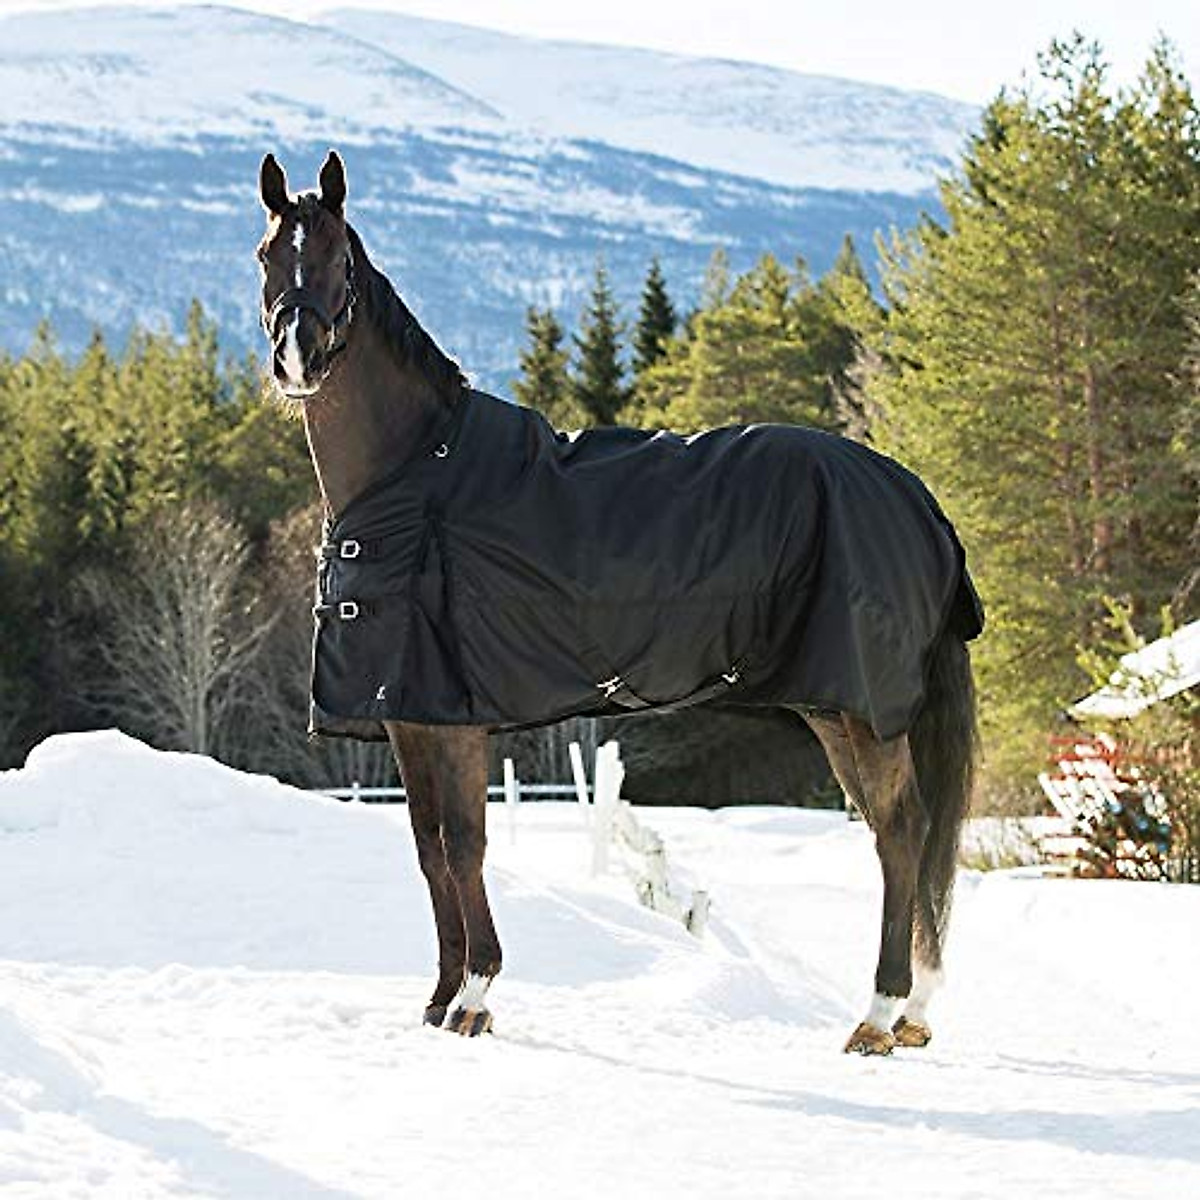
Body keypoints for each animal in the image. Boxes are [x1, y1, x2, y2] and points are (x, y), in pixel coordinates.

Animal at [255, 150, 982, 1054]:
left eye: (336, 256)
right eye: (267, 254)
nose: (297, 354)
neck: (415, 476)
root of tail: (914, 497)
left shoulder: (453, 720)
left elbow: (466, 847)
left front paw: (476, 997)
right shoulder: (407, 717)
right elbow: (428, 849)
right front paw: (437, 1000)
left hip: (857, 708)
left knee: (901, 829)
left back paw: (881, 1013)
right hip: (837, 709)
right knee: (899, 833)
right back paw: (909, 1014)